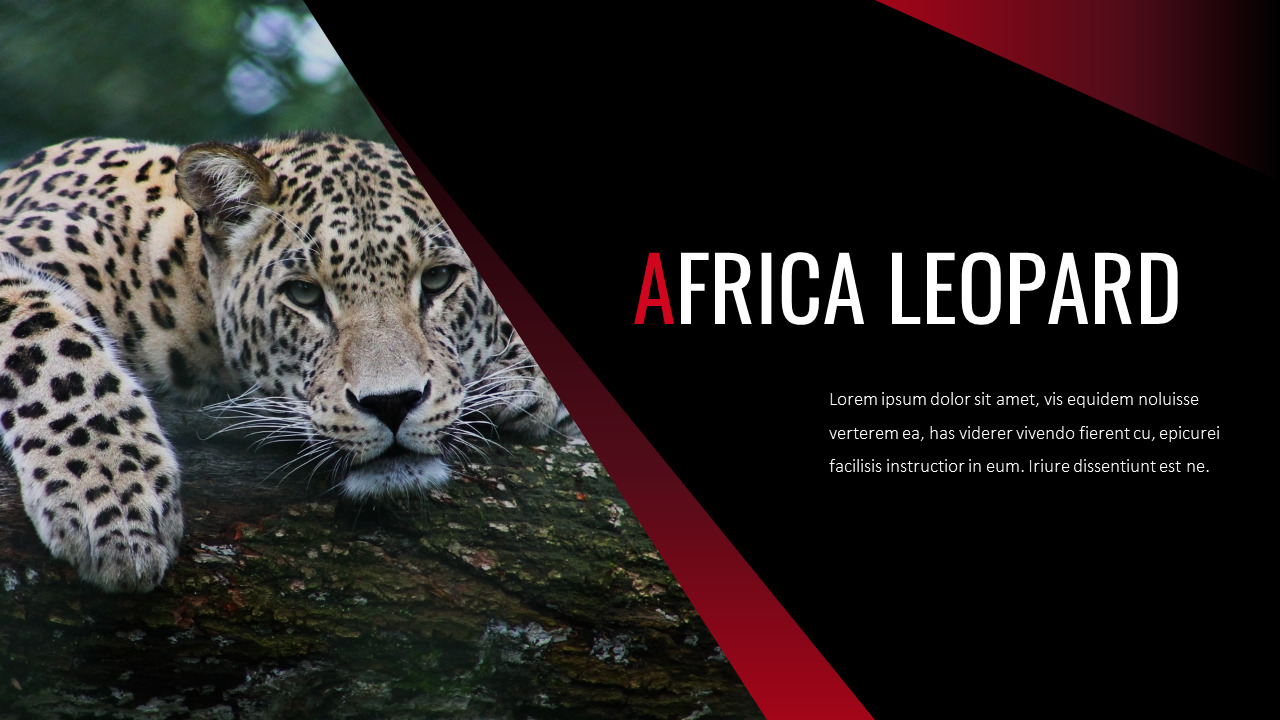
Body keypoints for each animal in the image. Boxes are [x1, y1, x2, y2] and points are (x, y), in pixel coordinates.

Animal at [0, 133, 570, 593]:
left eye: (437, 280)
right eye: (303, 294)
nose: (393, 403)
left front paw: (526, 377)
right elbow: (49, 342)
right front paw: (115, 496)